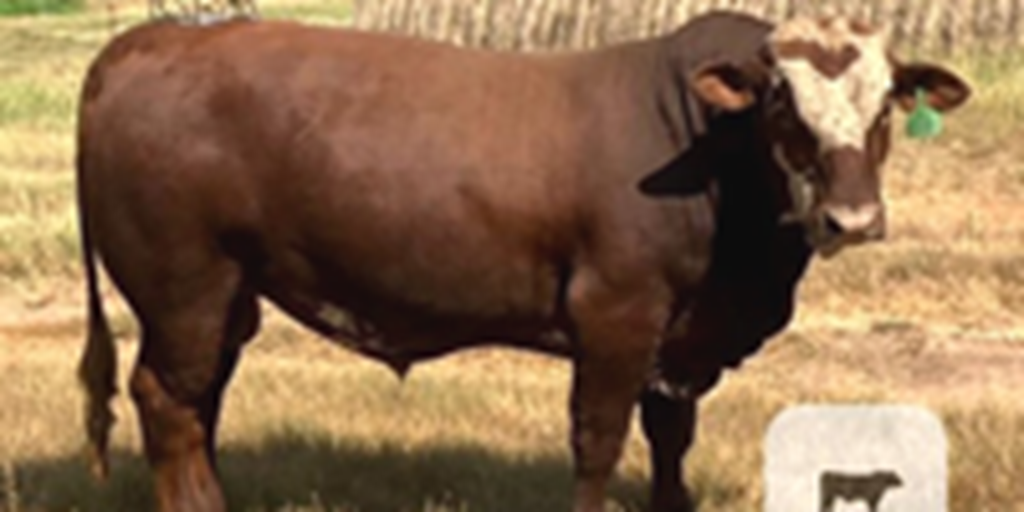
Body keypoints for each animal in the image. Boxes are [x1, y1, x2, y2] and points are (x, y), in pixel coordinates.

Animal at [75, 10, 969, 512]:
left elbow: (671, 438)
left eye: (886, 105)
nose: (853, 218)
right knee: (168, 401)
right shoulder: (616, 313)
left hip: (230, 295)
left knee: (200, 404)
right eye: (782, 101)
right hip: (183, 287)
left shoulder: (680, 342)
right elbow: (599, 439)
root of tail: (154, 39)